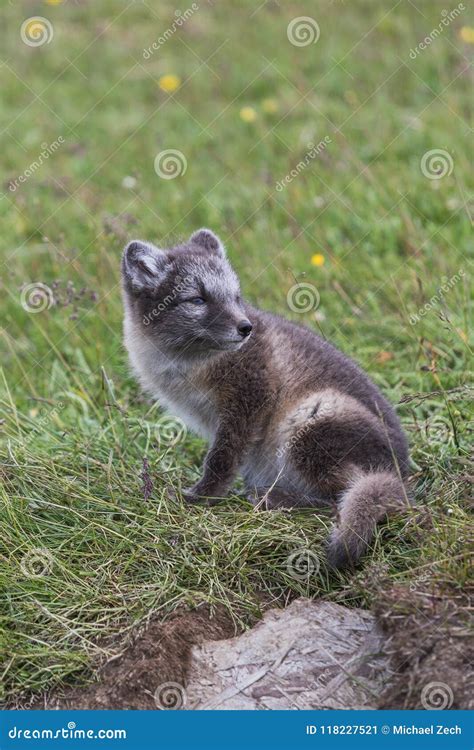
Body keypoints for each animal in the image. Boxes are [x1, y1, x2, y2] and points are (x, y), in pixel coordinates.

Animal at [121, 228, 410, 569]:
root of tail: (399, 473)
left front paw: (201, 497)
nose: (245, 328)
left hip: (311, 420)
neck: (187, 362)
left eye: (235, 296)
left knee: (340, 496)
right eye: (197, 299)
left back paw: (273, 498)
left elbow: (221, 457)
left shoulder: (251, 394)